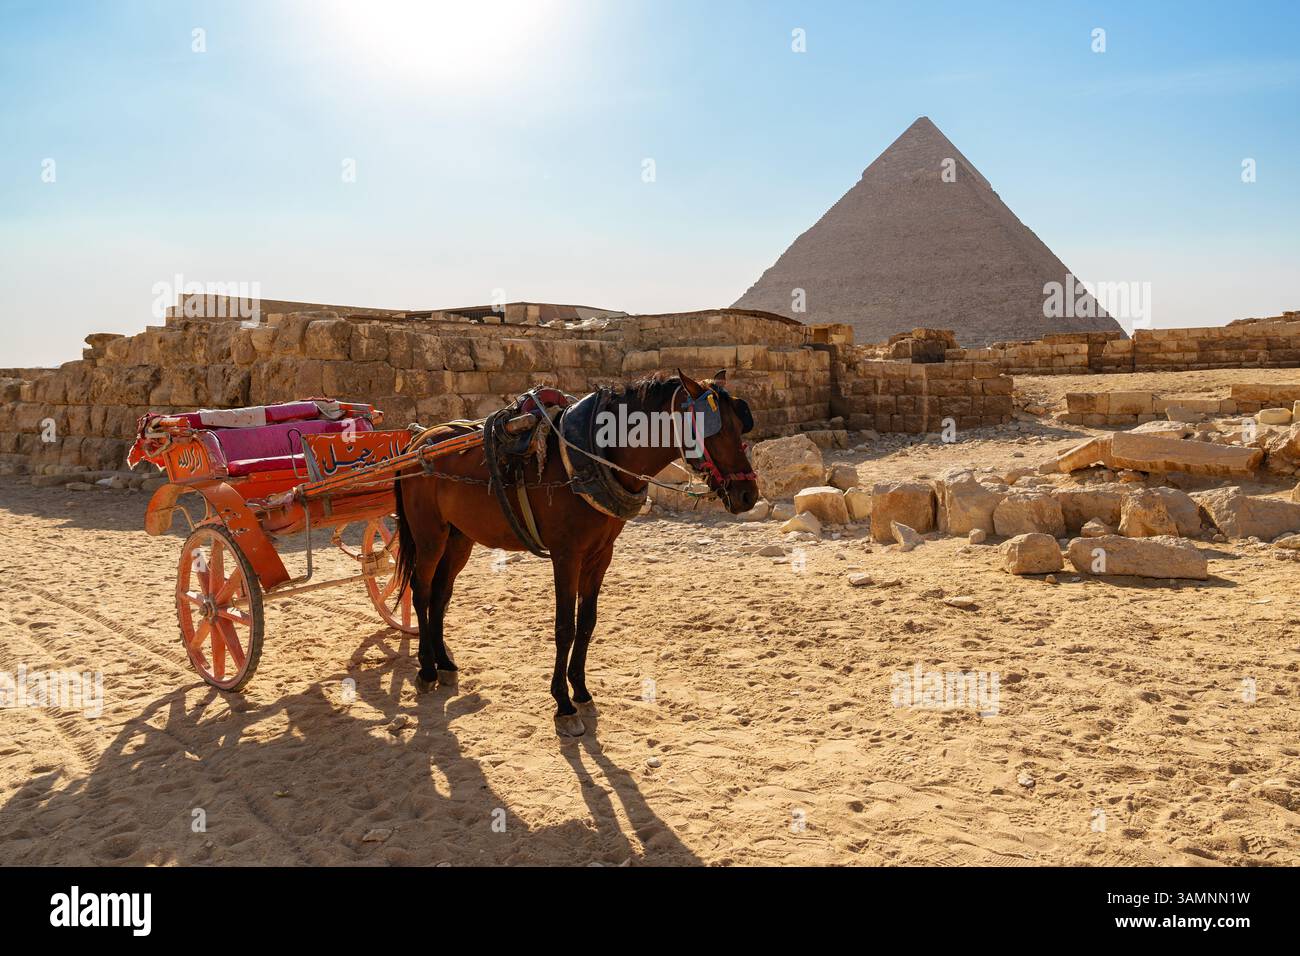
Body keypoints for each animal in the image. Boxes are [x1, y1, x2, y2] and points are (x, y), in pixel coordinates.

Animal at [393, 370, 759, 736]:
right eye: (716, 428)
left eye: (740, 425)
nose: (748, 495)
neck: (596, 455)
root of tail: (419, 439)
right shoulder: (566, 556)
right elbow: (565, 627)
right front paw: (563, 704)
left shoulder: (600, 555)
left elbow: (587, 622)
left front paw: (581, 691)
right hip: (429, 536)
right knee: (421, 593)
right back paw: (426, 669)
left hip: (459, 539)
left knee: (440, 594)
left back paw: (444, 664)